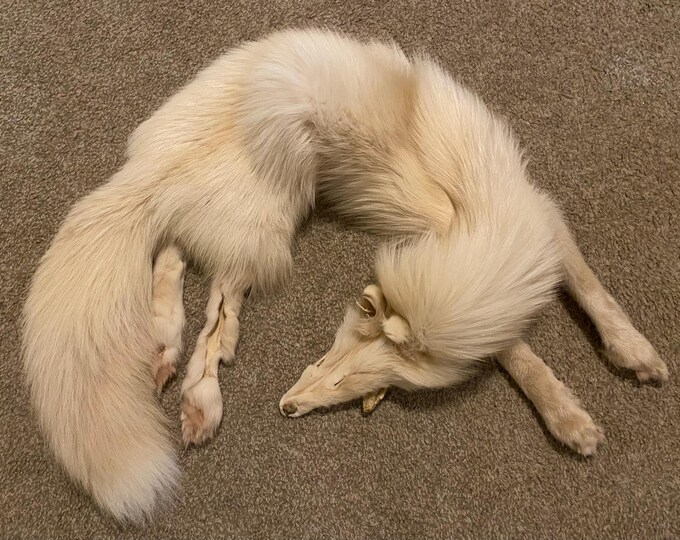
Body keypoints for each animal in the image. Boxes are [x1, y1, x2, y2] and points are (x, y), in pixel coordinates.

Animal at [22, 29, 668, 524]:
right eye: (325, 361)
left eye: (339, 375)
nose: (289, 407)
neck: (483, 214)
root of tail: (151, 170)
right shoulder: (461, 241)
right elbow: (524, 352)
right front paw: (570, 416)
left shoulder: (542, 228)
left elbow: (590, 292)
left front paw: (632, 353)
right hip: (272, 217)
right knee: (210, 307)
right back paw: (197, 392)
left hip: (250, 226)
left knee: (183, 271)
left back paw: (168, 357)